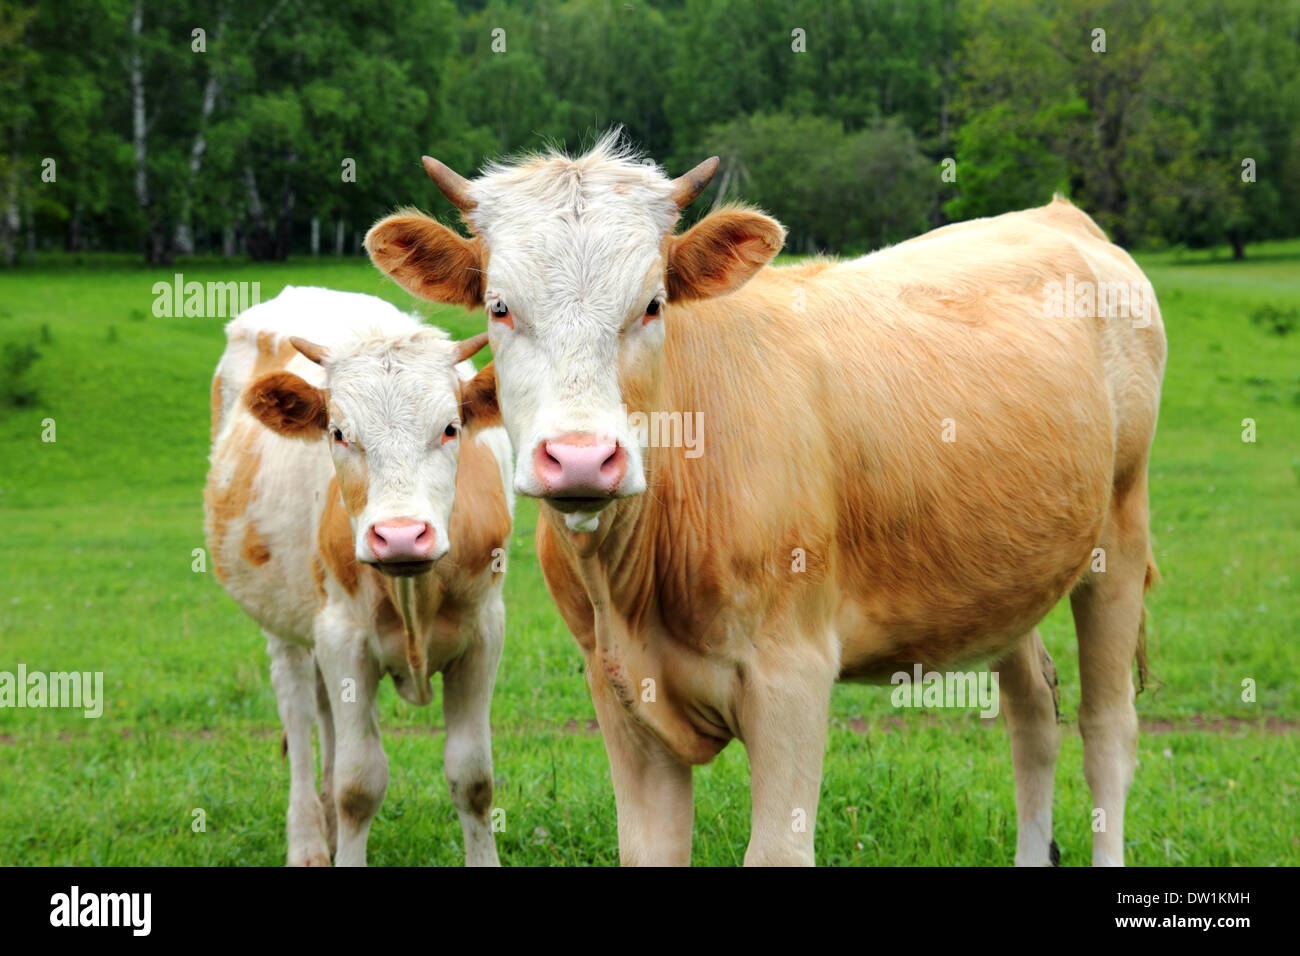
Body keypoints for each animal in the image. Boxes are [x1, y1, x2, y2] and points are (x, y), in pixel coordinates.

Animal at [204, 286, 512, 866]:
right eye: (339, 433)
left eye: (451, 428)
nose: (400, 535)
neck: (414, 591)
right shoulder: (344, 637)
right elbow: (359, 784)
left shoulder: (484, 632)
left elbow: (473, 778)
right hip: (285, 624)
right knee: (300, 715)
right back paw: (307, 841)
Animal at [365, 135, 1166, 867]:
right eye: (500, 307)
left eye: (652, 304)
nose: (582, 458)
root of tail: (1059, 215)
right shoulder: (616, 689)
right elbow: (649, 849)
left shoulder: (793, 678)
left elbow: (777, 850)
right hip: (1002, 579)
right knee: (1033, 711)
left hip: (1119, 540)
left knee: (1107, 730)